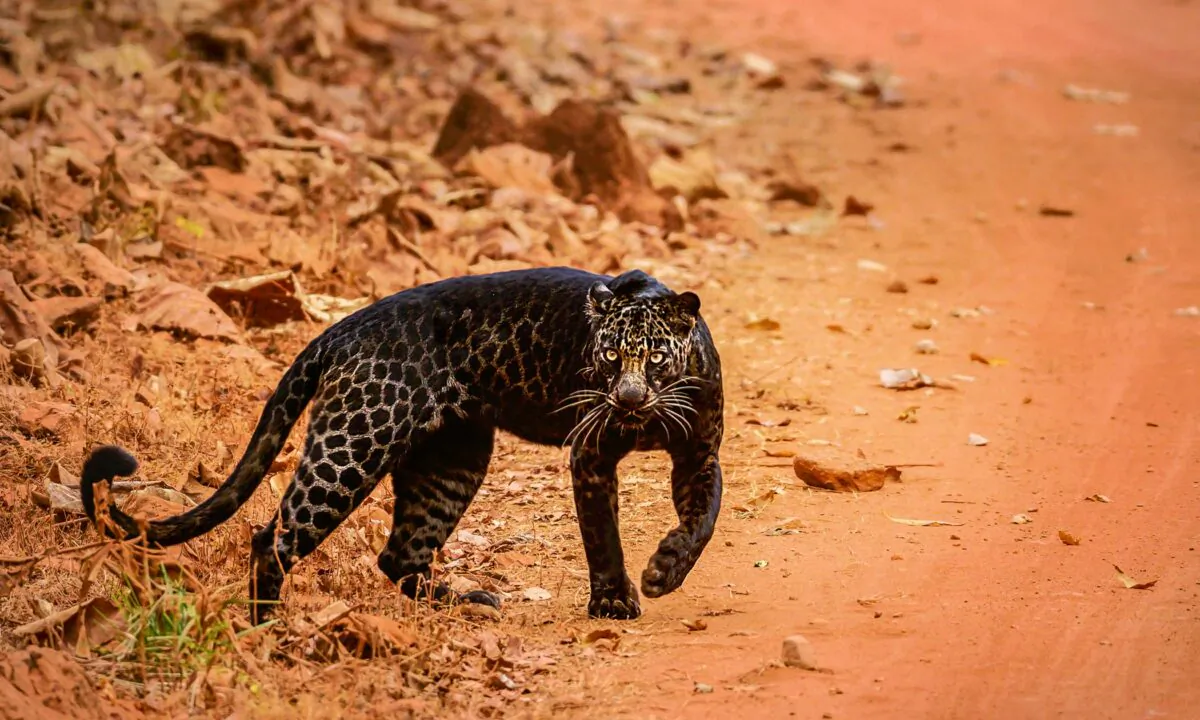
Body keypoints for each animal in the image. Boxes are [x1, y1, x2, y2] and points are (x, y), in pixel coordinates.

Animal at [80, 266, 725, 624]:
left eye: (655, 356)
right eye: (611, 355)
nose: (629, 399)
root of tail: (342, 328)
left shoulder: (699, 455)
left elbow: (703, 518)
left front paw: (665, 570)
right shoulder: (590, 455)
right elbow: (601, 533)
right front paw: (616, 601)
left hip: (452, 458)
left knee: (400, 553)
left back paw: (467, 602)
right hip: (354, 445)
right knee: (274, 538)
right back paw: (269, 628)